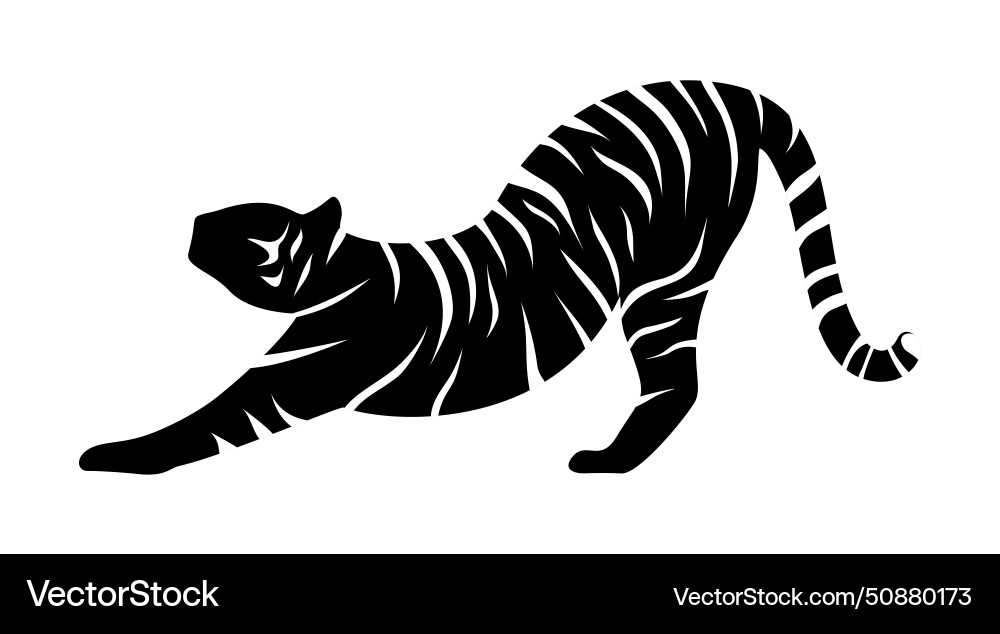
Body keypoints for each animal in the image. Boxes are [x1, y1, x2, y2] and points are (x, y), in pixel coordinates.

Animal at [80, 80, 919, 475]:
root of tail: (724, 85)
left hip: (667, 283)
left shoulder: (288, 383)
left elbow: (201, 423)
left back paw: (608, 464)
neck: (341, 271)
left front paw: (112, 457)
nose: (192, 226)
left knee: (676, 382)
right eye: (221, 213)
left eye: (243, 230)